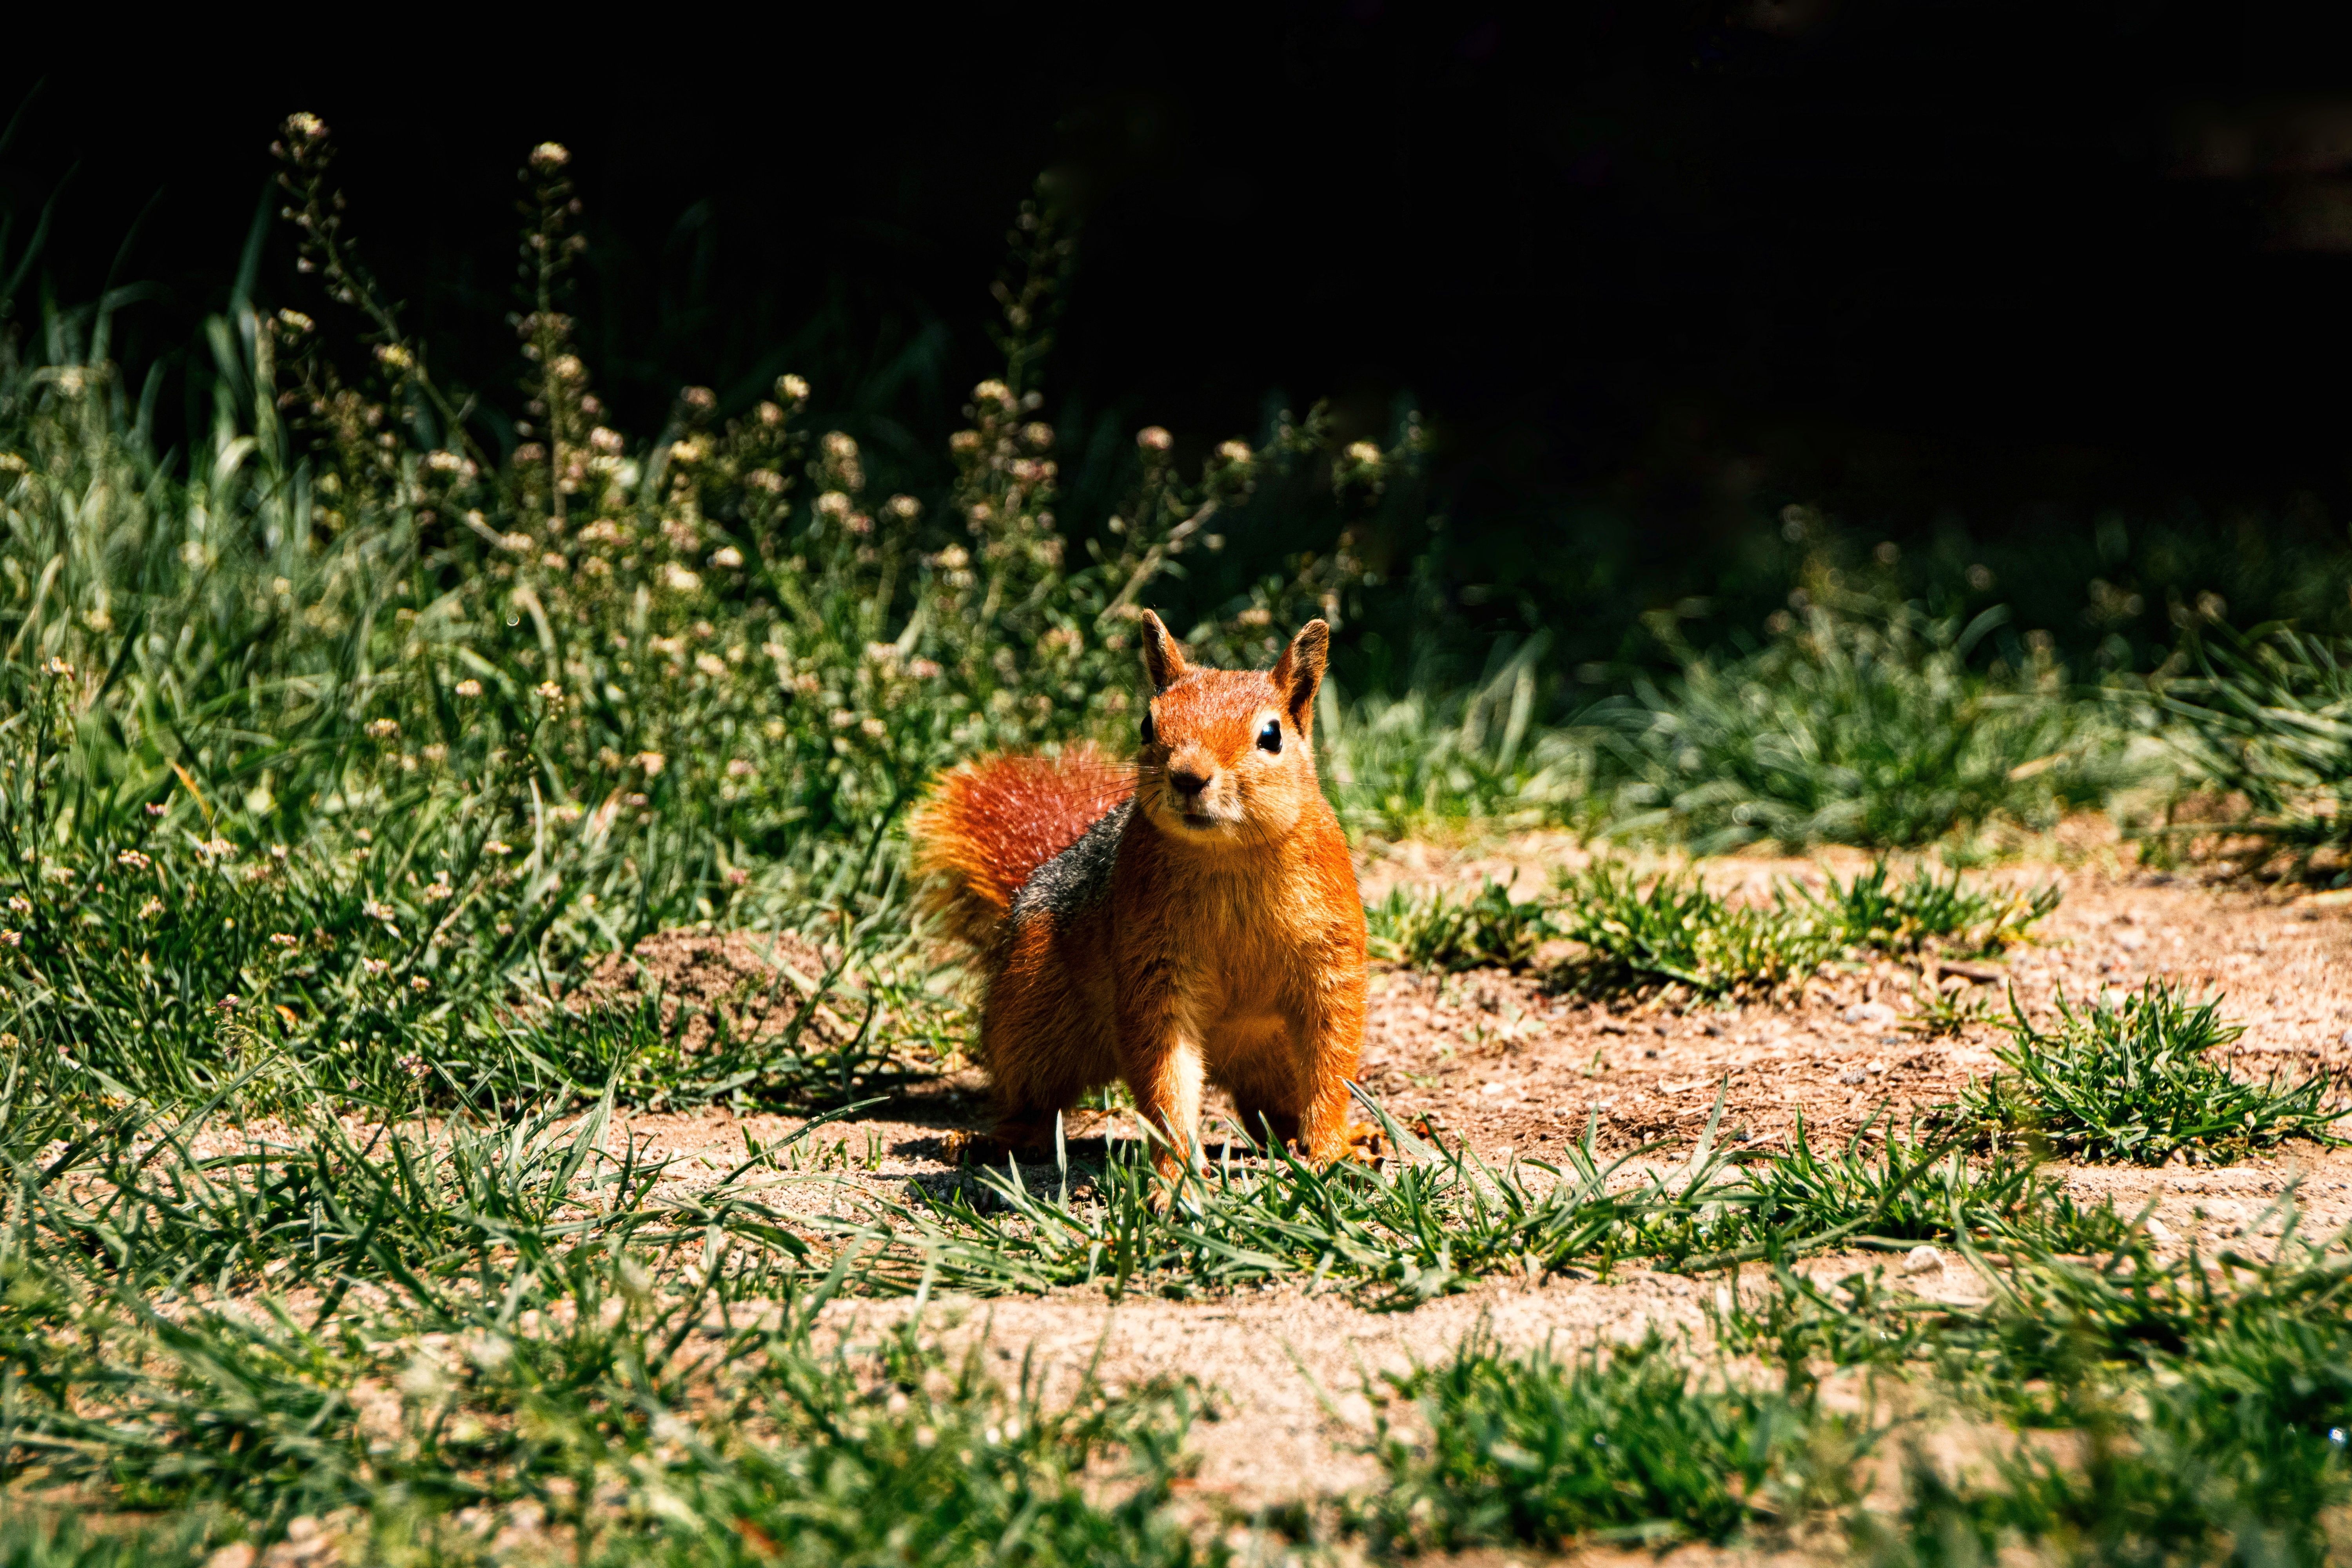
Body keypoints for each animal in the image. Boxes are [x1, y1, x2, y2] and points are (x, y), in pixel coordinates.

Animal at [911, 612, 1369, 1178]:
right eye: (1148, 725)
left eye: (1271, 735)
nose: (1188, 777)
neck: (1228, 858)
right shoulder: (1150, 964)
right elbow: (1164, 1075)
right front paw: (1177, 1174)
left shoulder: (1331, 955)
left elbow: (1333, 1059)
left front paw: (1332, 1149)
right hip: (1029, 1013)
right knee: (1035, 1100)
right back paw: (997, 1141)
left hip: (1275, 1050)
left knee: (1276, 1108)